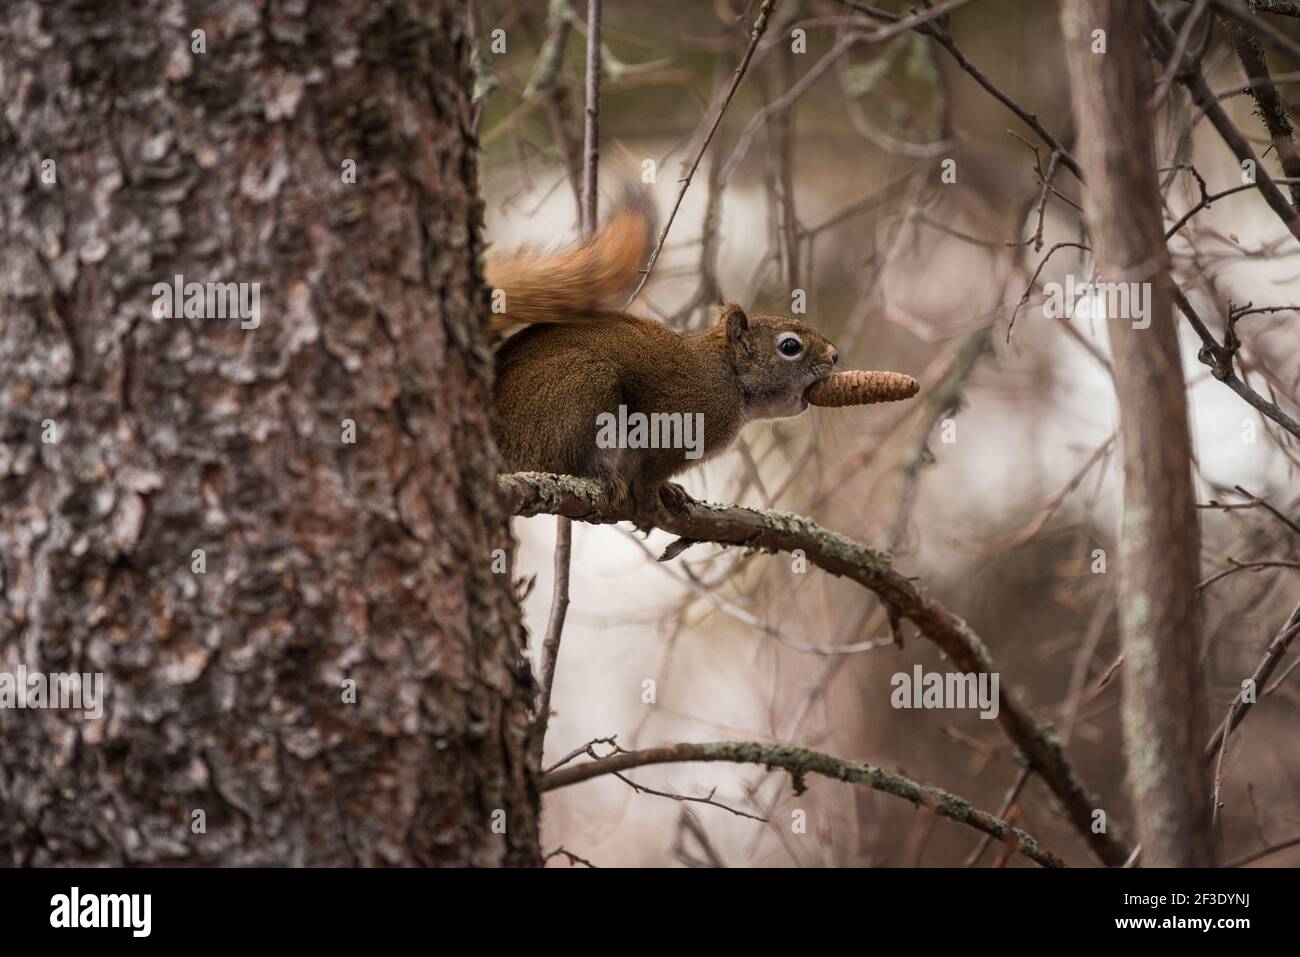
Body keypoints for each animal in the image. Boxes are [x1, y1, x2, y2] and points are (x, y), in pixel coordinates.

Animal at [485, 190, 840, 513]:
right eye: (790, 347)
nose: (835, 355)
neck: (730, 378)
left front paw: (670, 490)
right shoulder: (681, 426)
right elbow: (650, 470)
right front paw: (651, 492)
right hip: (579, 394)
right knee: (565, 460)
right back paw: (602, 476)